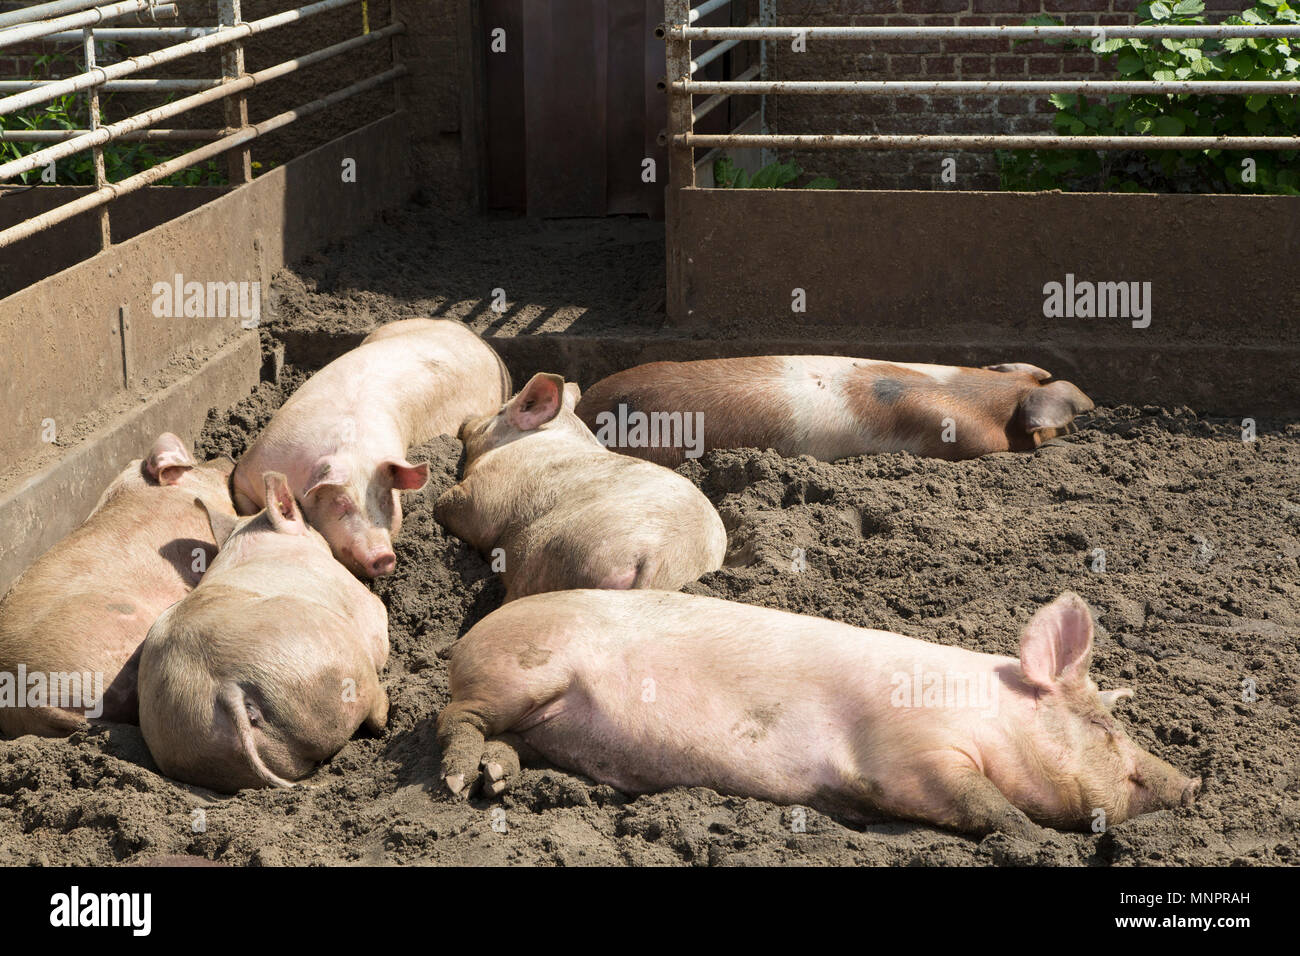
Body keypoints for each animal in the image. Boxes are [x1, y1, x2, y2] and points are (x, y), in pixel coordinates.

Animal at [231, 318, 510, 578]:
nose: (383, 556)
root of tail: (473, 336)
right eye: (341, 502)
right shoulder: (250, 471)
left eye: (386, 500)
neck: (352, 451)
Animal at [434, 372, 727, 602]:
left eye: (499, 412)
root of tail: (657, 560)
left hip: (553, 558)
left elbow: (447, 504)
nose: (466, 420)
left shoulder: (485, 494)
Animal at [438, 590, 1199, 837]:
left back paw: (493, 783)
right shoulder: (912, 749)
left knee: (506, 744)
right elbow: (978, 799)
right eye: (1105, 728)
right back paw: (454, 782)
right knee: (456, 719)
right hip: (513, 675)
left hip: (540, 717)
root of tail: (469, 635)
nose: (1192, 783)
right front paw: (1031, 838)